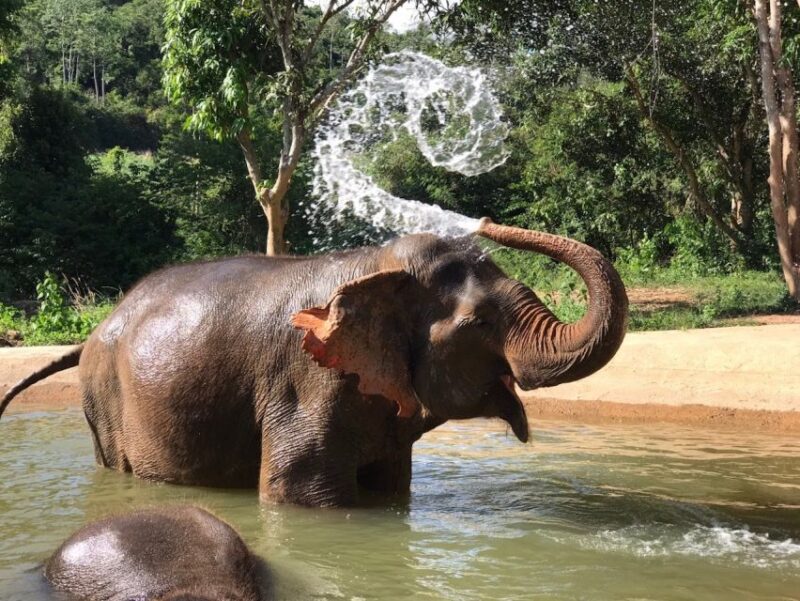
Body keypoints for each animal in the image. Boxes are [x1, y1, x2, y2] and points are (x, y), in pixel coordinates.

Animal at [0, 219, 628, 506]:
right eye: (478, 325)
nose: (485, 223)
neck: (374, 266)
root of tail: (92, 332)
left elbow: (390, 488)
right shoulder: (308, 381)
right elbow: (300, 491)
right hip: (103, 405)